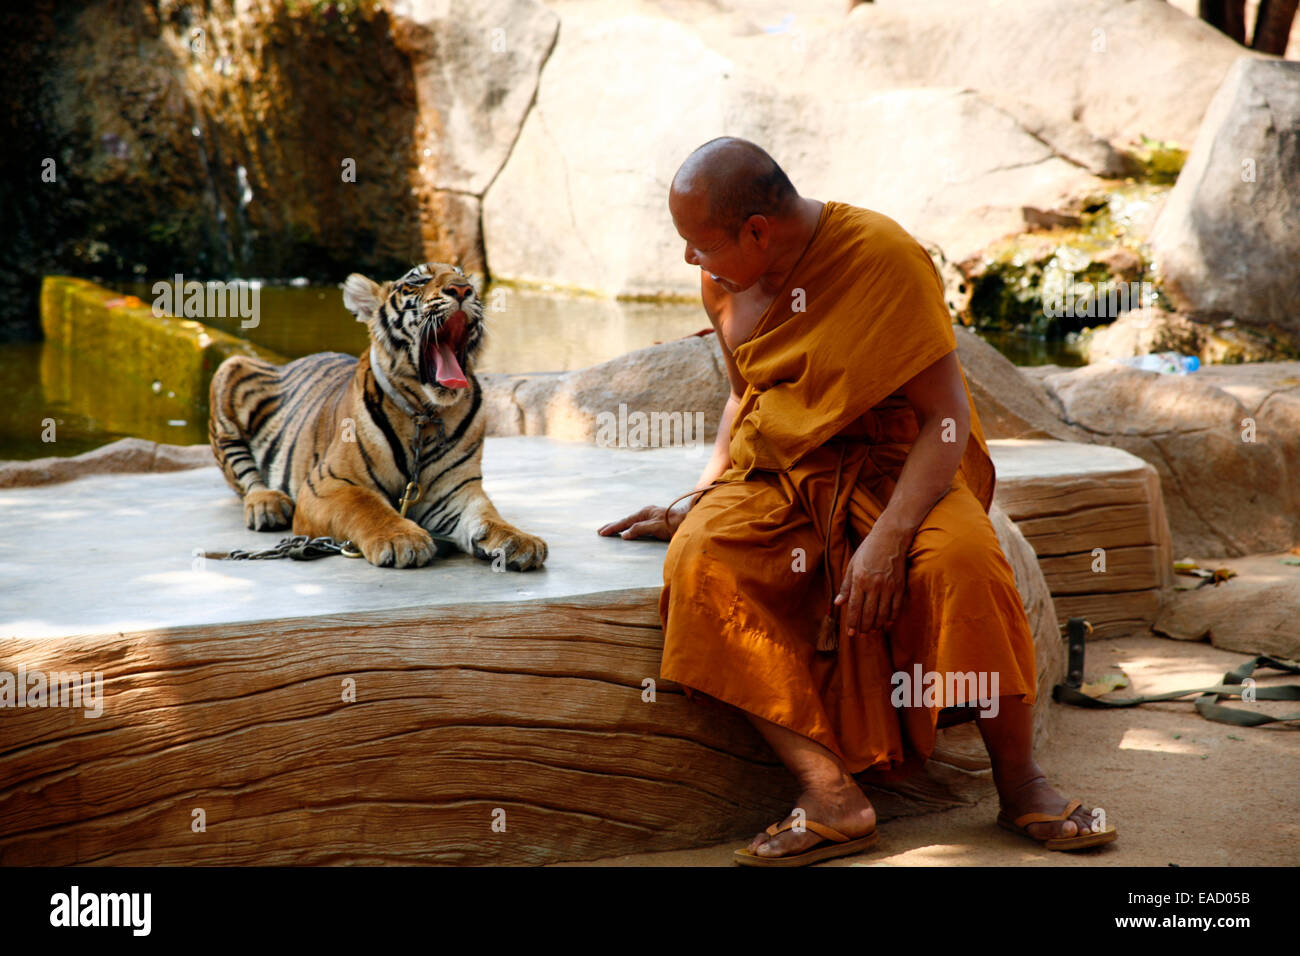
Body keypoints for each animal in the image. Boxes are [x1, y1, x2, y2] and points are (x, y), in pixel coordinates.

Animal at [207, 262, 548, 570]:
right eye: (418, 281)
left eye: (464, 278)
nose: (463, 290)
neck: (425, 414)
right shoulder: (326, 484)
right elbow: (367, 506)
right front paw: (402, 539)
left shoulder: (457, 491)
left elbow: (489, 516)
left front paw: (519, 541)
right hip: (232, 369)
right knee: (244, 473)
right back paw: (266, 504)